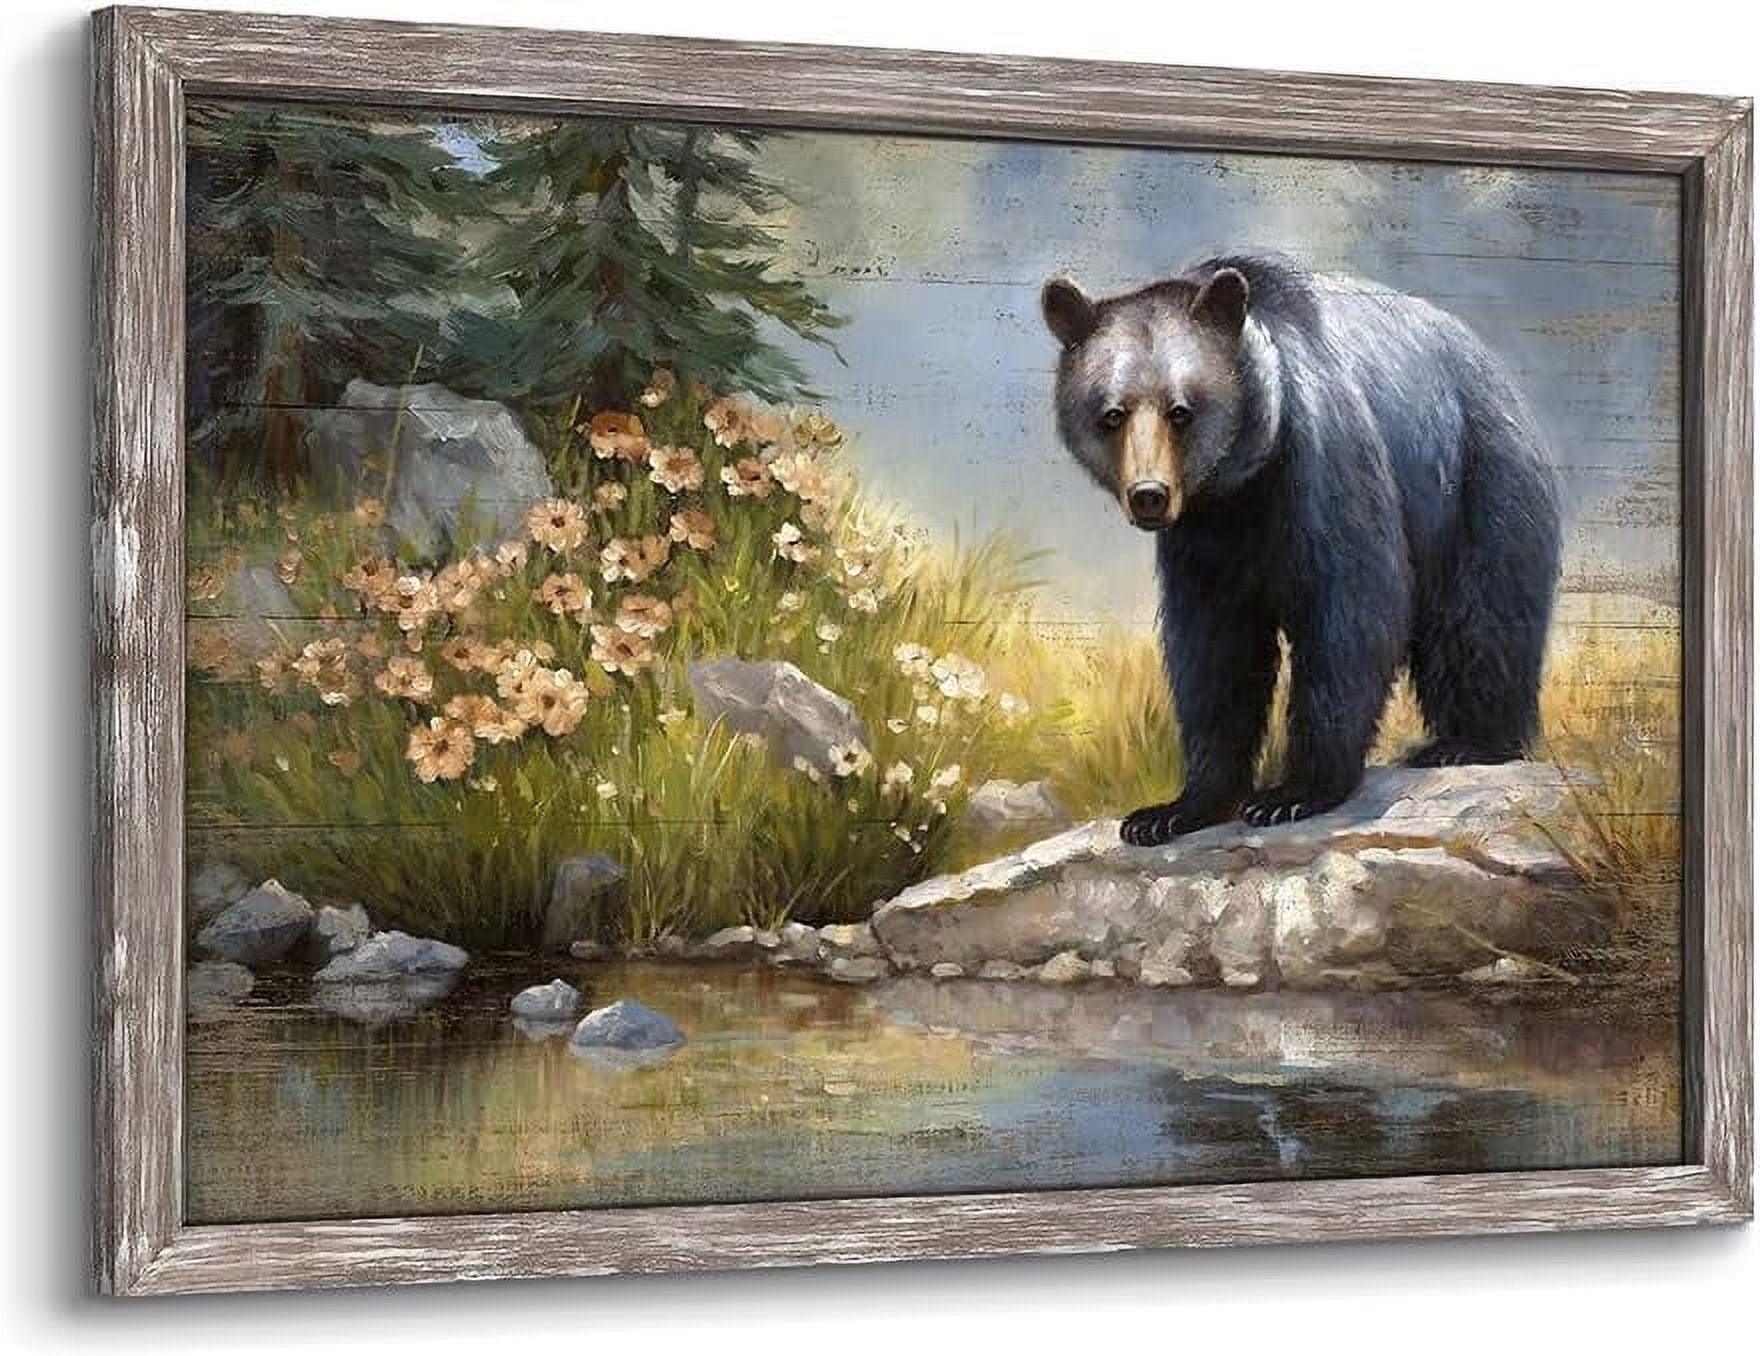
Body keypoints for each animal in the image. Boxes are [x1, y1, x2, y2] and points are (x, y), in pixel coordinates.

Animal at [1041, 252, 1561, 846]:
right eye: (1112, 413)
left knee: (1483, 618)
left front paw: (1292, 793)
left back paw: (1468, 742)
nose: (1149, 494)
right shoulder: (1204, 536)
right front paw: (1173, 810)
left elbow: (1351, 610)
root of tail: (1493, 368)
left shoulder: (1320, 459)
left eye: (1181, 410)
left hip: (1480, 478)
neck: (1245, 475)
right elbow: (1215, 647)